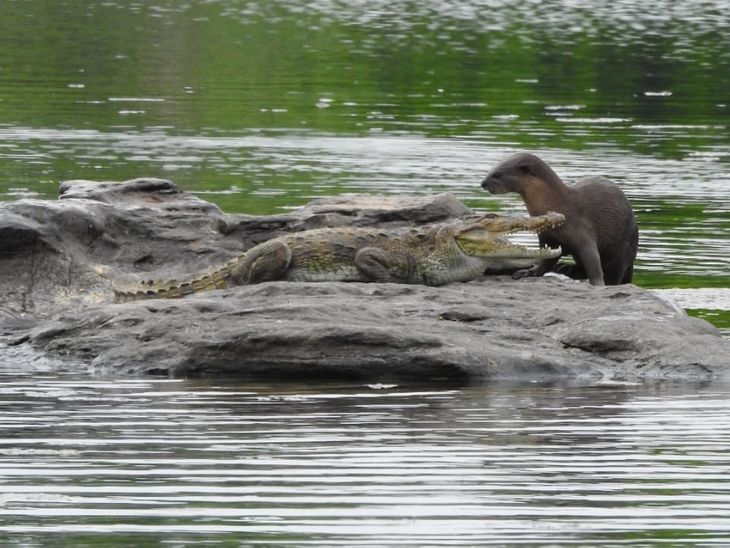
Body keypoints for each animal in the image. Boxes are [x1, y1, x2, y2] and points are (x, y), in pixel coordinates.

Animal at [481, 152, 638, 286]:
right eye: (490, 170)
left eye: (497, 174)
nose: (483, 183)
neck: (558, 205)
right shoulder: (547, 237)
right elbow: (546, 260)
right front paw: (529, 272)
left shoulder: (584, 235)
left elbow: (593, 263)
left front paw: (598, 284)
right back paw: (564, 268)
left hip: (620, 253)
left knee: (614, 273)